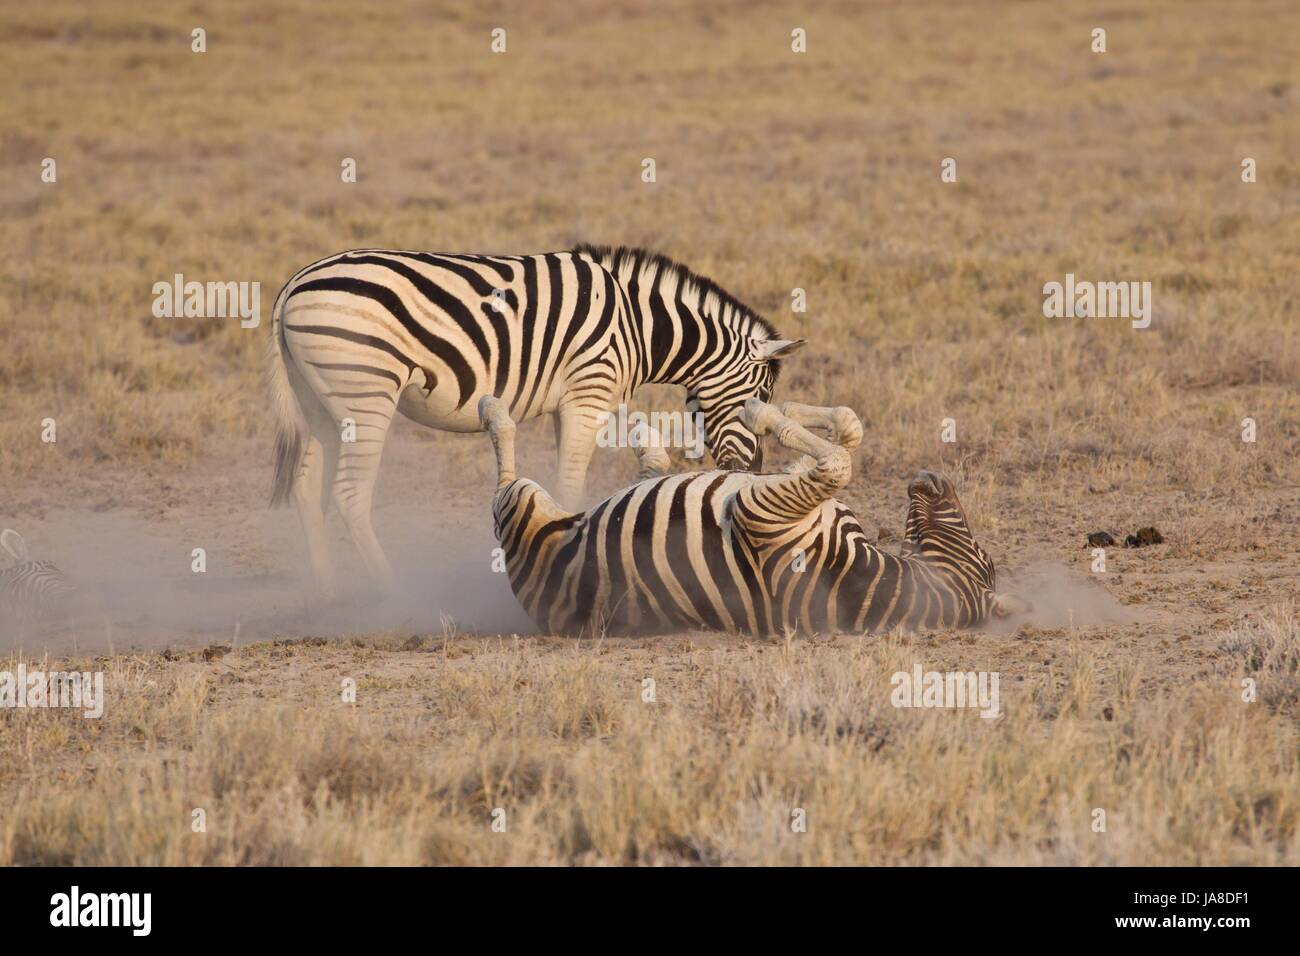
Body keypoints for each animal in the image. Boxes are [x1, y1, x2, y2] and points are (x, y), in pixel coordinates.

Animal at [267, 244, 804, 594]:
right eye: (761, 397)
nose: (751, 473)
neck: (638, 325)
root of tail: (293, 283)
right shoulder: (589, 393)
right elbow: (570, 482)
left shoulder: (580, 398)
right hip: (366, 395)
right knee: (348, 495)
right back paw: (390, 592)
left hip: (321, 406)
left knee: (305, 487)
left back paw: (327, 590)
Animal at [479, 396, 1029, 636]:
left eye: (977, 548)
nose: (930, 476)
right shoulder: (793, 496)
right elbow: (848, 433)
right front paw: (785, 407)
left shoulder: (759, 509)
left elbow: (838, 460)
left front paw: (760, 413)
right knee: (646, 472)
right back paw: (641, 436)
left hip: (524, 506)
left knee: (505, 473)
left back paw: (493, 408)